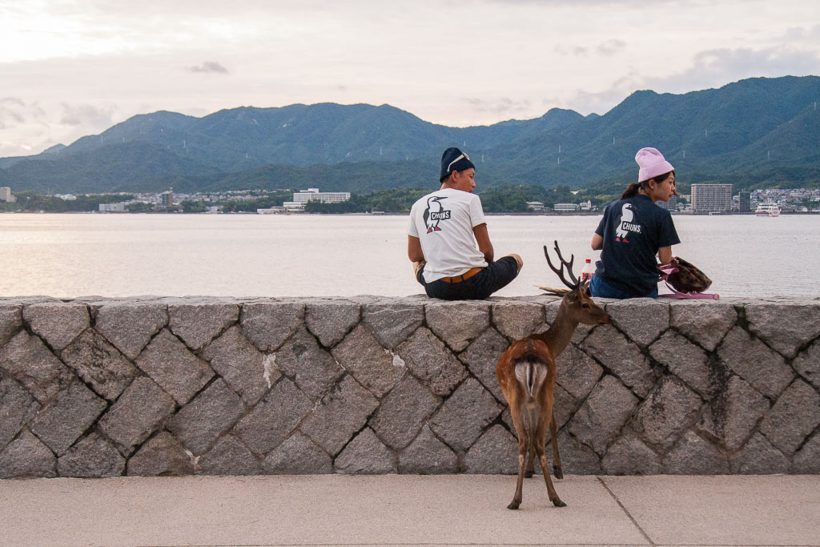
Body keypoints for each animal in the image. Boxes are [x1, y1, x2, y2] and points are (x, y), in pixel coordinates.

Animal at [496, 241, 610, 509]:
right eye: (585, 303)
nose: (607, 317)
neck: (549, 343)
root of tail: (530, 358)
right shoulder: (553, 386)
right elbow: (554, 423)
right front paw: (559, 469)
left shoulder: (529, 401)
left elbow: (532, 433)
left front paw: (530, 471)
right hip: (542, 391)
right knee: (536, 438)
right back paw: (553, 496)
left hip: (519, 396)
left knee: (525, 441)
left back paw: (518, 499)